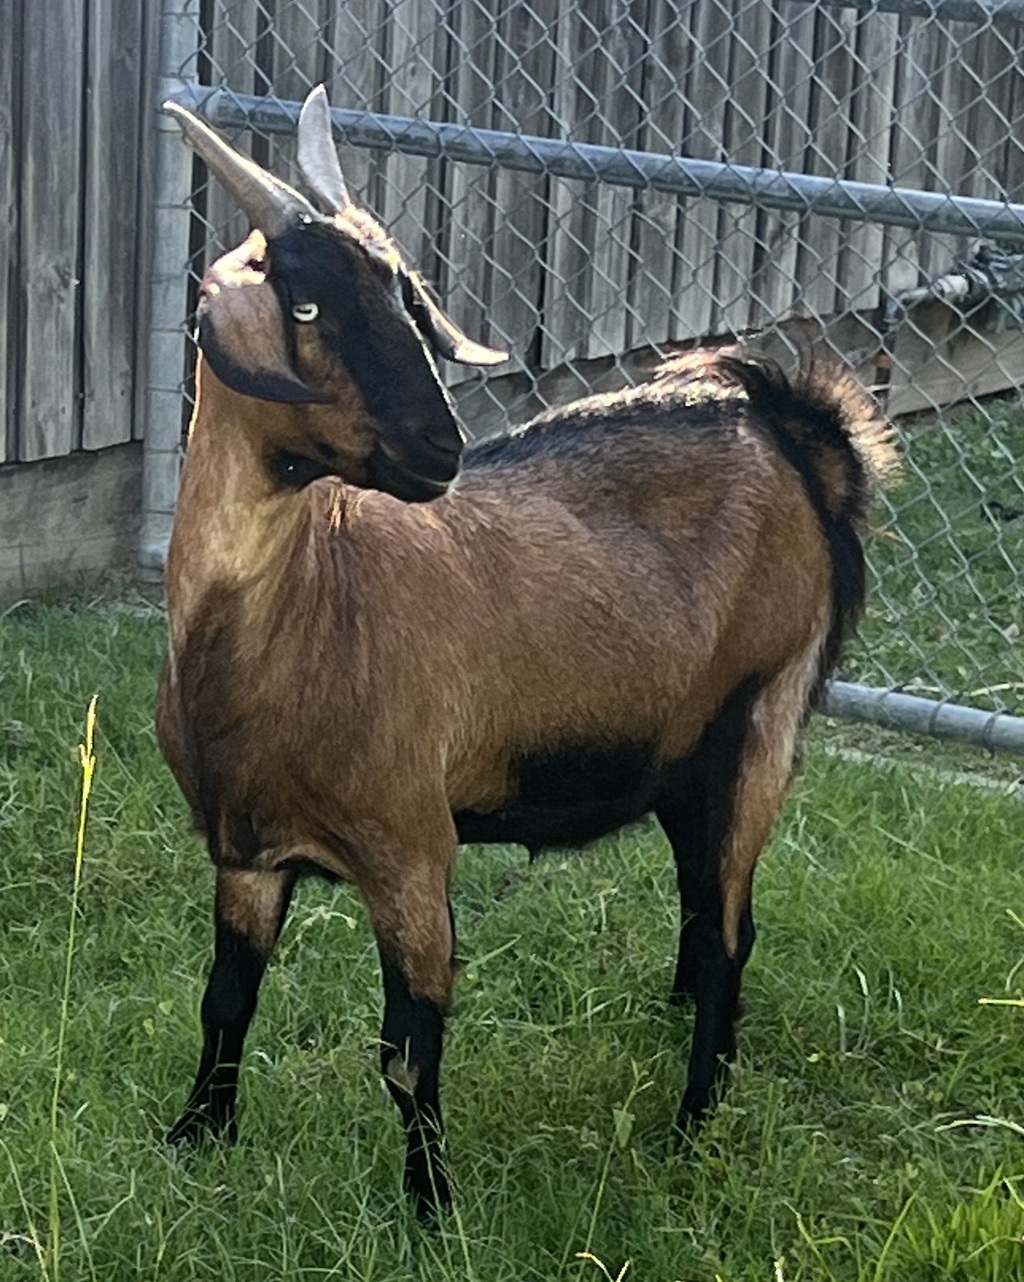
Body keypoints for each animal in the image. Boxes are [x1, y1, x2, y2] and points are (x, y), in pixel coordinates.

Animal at [158, 86, 894, 1220]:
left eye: (405, 297)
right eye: (310, 307)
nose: (441, 450)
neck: (301, 616)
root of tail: (785, 421)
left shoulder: (414, 848)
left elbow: (407, 1052)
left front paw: (432, 1210)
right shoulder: (244, 848)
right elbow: (225, 999)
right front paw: (195, 1139)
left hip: (762, 717)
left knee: (731, 935)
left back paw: (691, 1128)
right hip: (678, 754)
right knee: (704, 912)